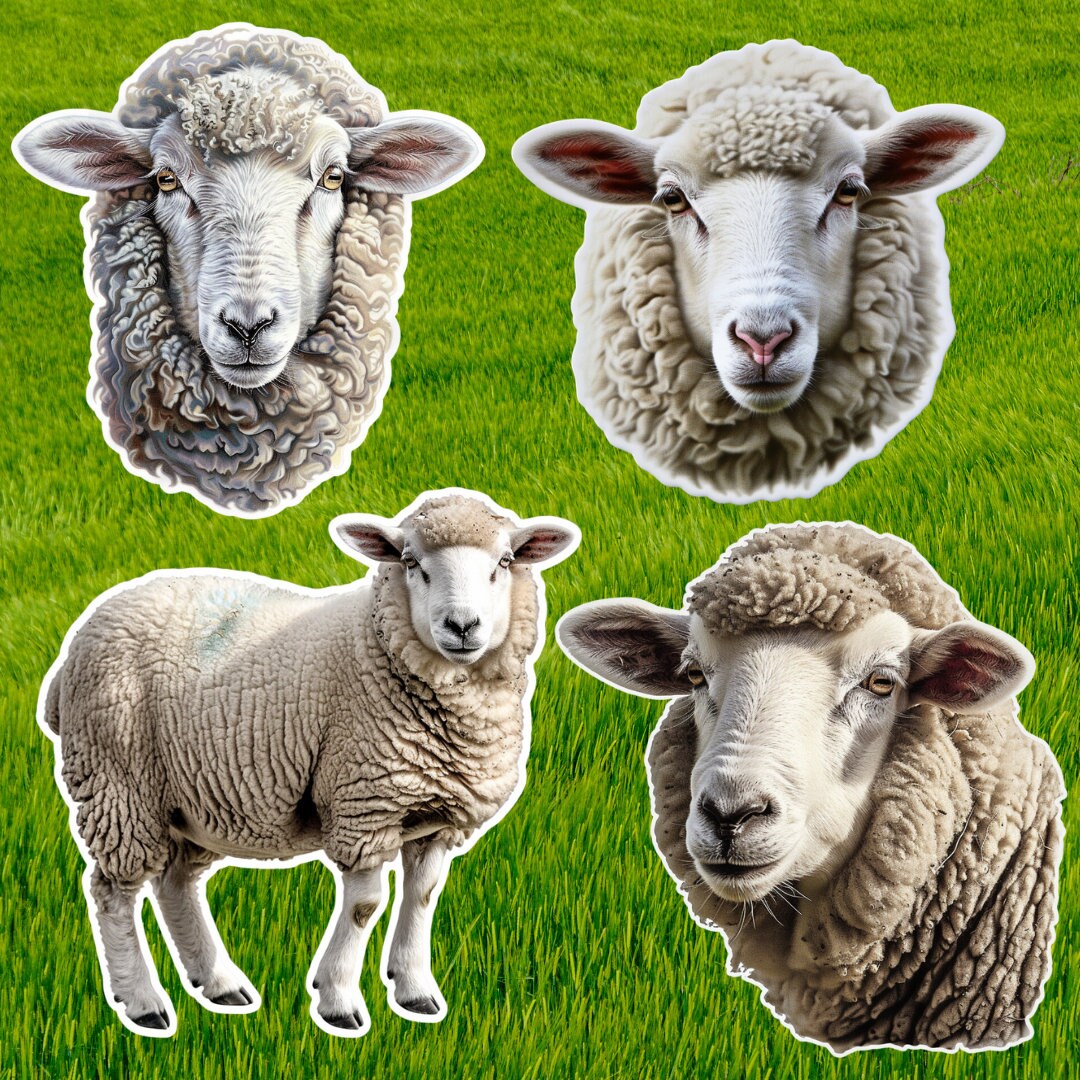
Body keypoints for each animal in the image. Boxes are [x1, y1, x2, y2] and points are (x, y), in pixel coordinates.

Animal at [38, 489, 579, 1036]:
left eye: (504, 562)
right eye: (410, 562)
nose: (462, 626)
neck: (378, 646)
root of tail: (72, 651)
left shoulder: (437, 818)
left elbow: (423, 897)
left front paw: (415, 991)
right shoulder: (363, 804)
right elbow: (364, 906)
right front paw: (338, 1001)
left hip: (190, 798)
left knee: (175, 884)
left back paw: (218, 983)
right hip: (119, 781)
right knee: (111, 890)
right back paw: (143, 1001)